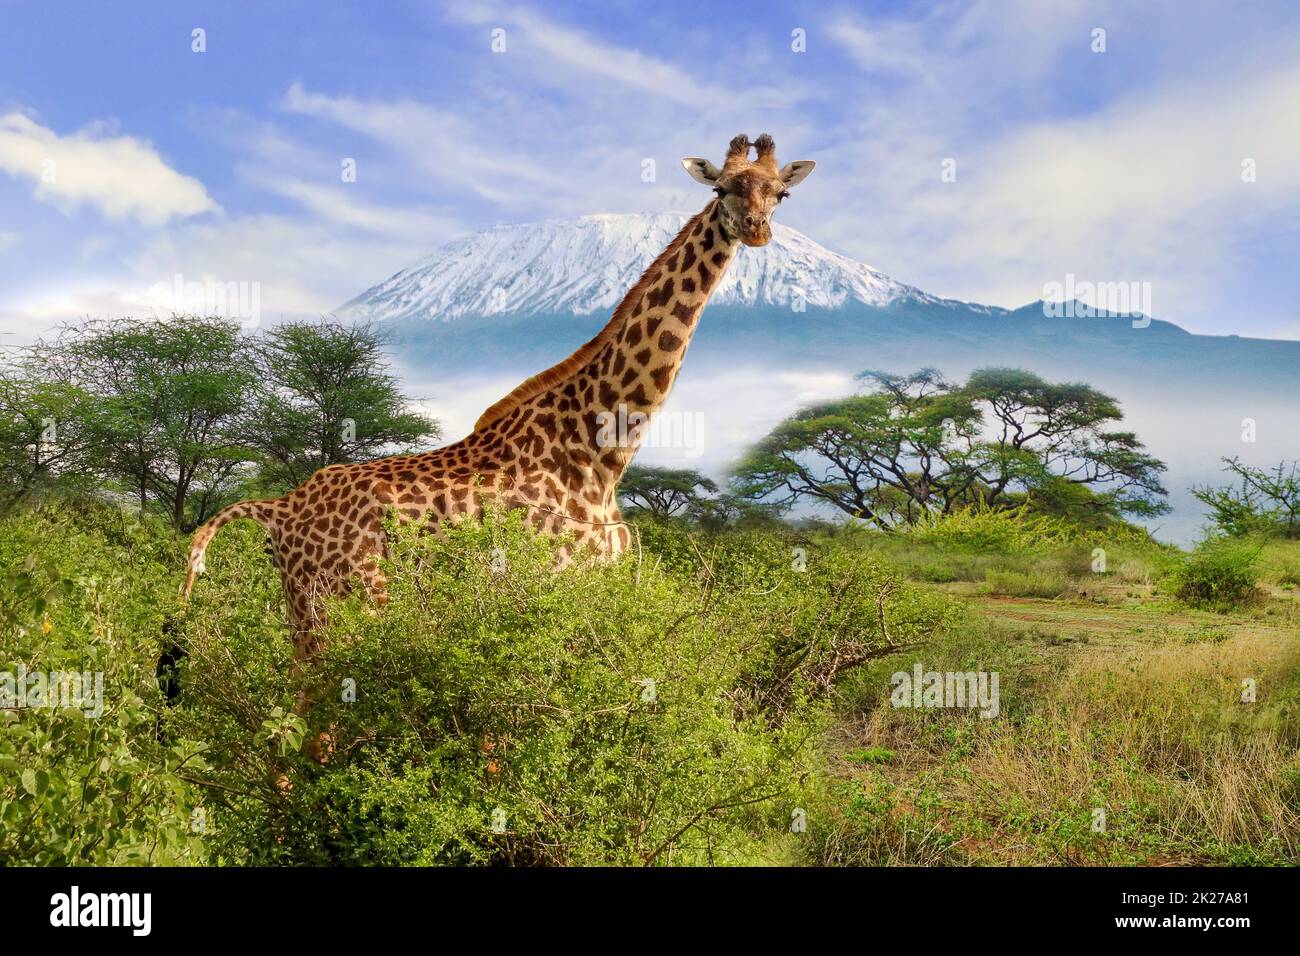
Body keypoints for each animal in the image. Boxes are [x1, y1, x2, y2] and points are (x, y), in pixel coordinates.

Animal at [181, 133, 815, 663]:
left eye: (781, 192)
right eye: (720, 187)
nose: (757, 229)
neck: (602, 451)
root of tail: (278, 508)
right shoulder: (561, 585)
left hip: (302, 611)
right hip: (349, 604)